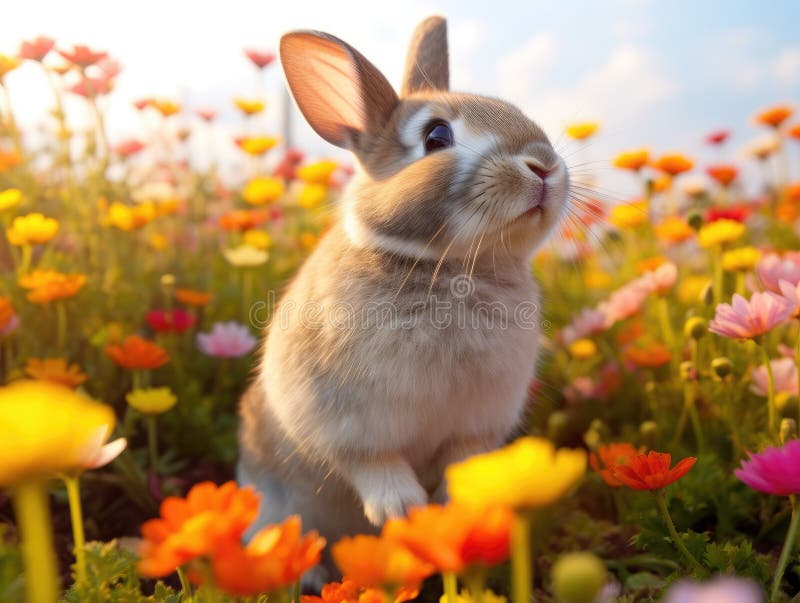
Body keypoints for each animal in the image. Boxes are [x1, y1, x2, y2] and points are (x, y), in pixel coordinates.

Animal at [237, 15, 570, 578]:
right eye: (436, 136)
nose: (544, 165)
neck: (448, 266)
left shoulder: (478, 424)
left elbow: (463, 458)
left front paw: (452, 506)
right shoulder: (339, 418)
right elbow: (371, 461)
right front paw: (403, 509)